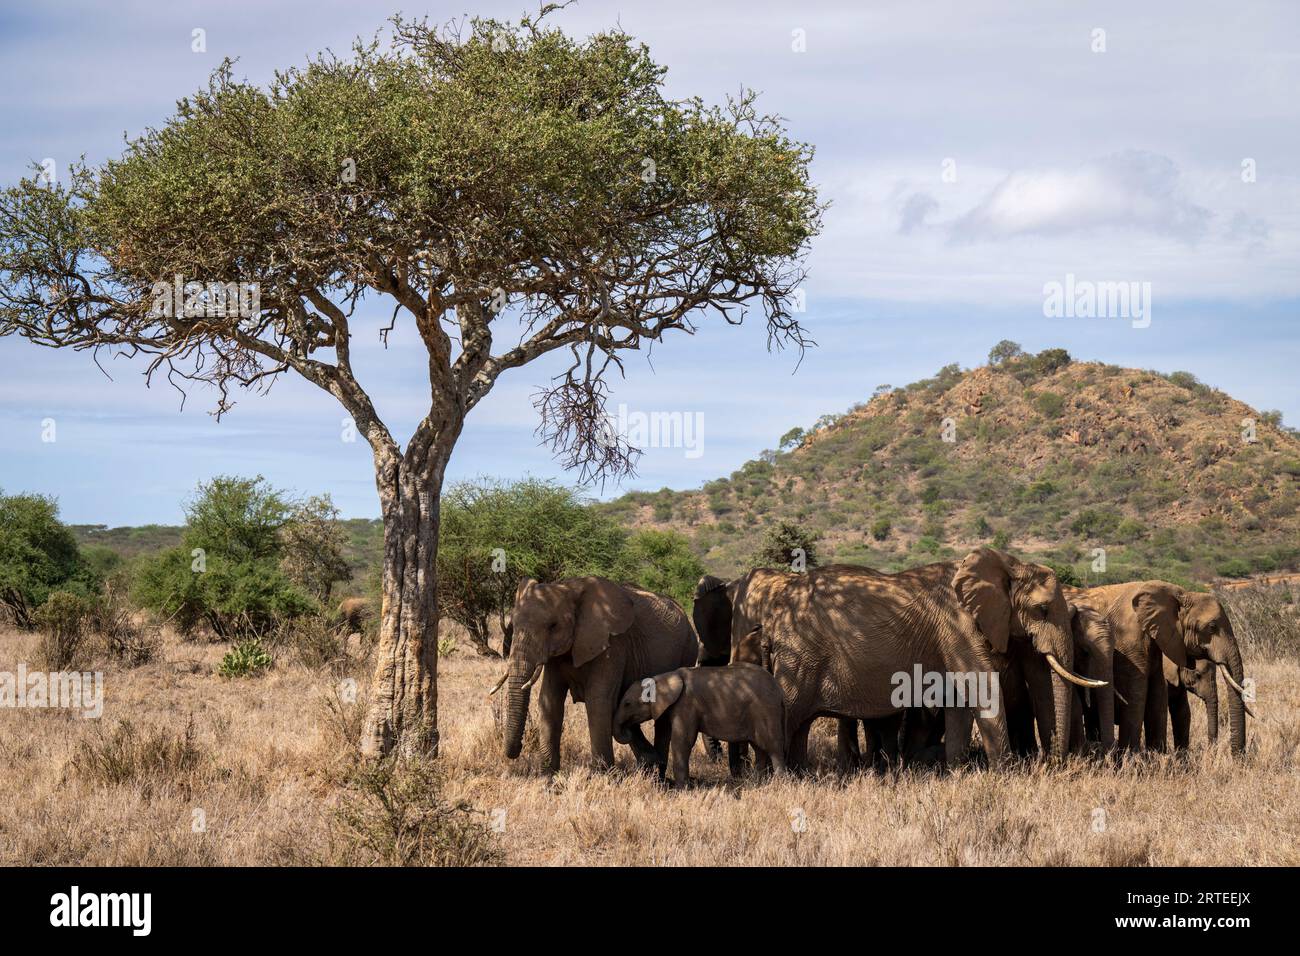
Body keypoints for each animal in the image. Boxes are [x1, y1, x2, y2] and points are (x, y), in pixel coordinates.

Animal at [496, 576, 698, 773]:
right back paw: (650, 765)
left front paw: (601, 775)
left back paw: (658, 774)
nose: (515, 751)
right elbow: (550, 699)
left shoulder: (612, 645)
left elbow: (598, 700)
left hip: (688, 649)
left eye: (553, 626)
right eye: (513, 625)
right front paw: (547, 777)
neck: (568, 587)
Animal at [614, 663, 787, 789]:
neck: (663, 678)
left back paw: (779, 784)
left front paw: (681, 789)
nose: (628, 729)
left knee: (773, 747)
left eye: (627, 704)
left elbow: (682, 741)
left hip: (766, 711)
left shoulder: (686, 704)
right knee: (759, 748)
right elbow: (666, 735)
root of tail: (779, 691)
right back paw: (758, 783)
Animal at [755, 548, 1100, 769]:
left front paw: (958, 772)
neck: (1008, 563)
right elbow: (982, 688)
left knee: (800, 723)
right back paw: (772, 779)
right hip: (799, 656)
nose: (1053, 766)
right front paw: (1007, 774)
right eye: (1042, 609)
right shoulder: (956, 625)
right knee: (787, 712)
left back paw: (798, 775)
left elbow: (961, 702)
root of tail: (773, 620)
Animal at [1065, 581, 1252, 754]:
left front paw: (1158, 757)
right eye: (1212, 627)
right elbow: (1137, 693)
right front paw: (1131, 759)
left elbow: (1162, 697)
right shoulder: (1130, 640)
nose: (1238, 757)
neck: (1178, 593)